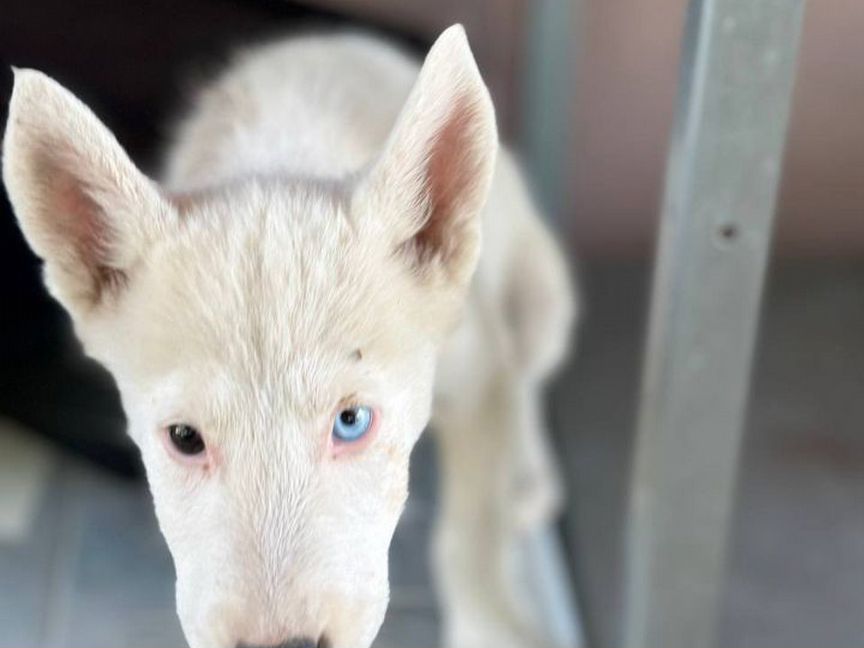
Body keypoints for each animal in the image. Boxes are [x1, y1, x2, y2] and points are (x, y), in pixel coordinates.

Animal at [5, 24, 572, 648]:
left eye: (352, 421)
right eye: (184, 438)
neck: (278, 153)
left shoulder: (476, 369)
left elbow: (472, 530)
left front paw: (492, 626)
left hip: (541, 301)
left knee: (527, 382)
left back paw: (530, 480)